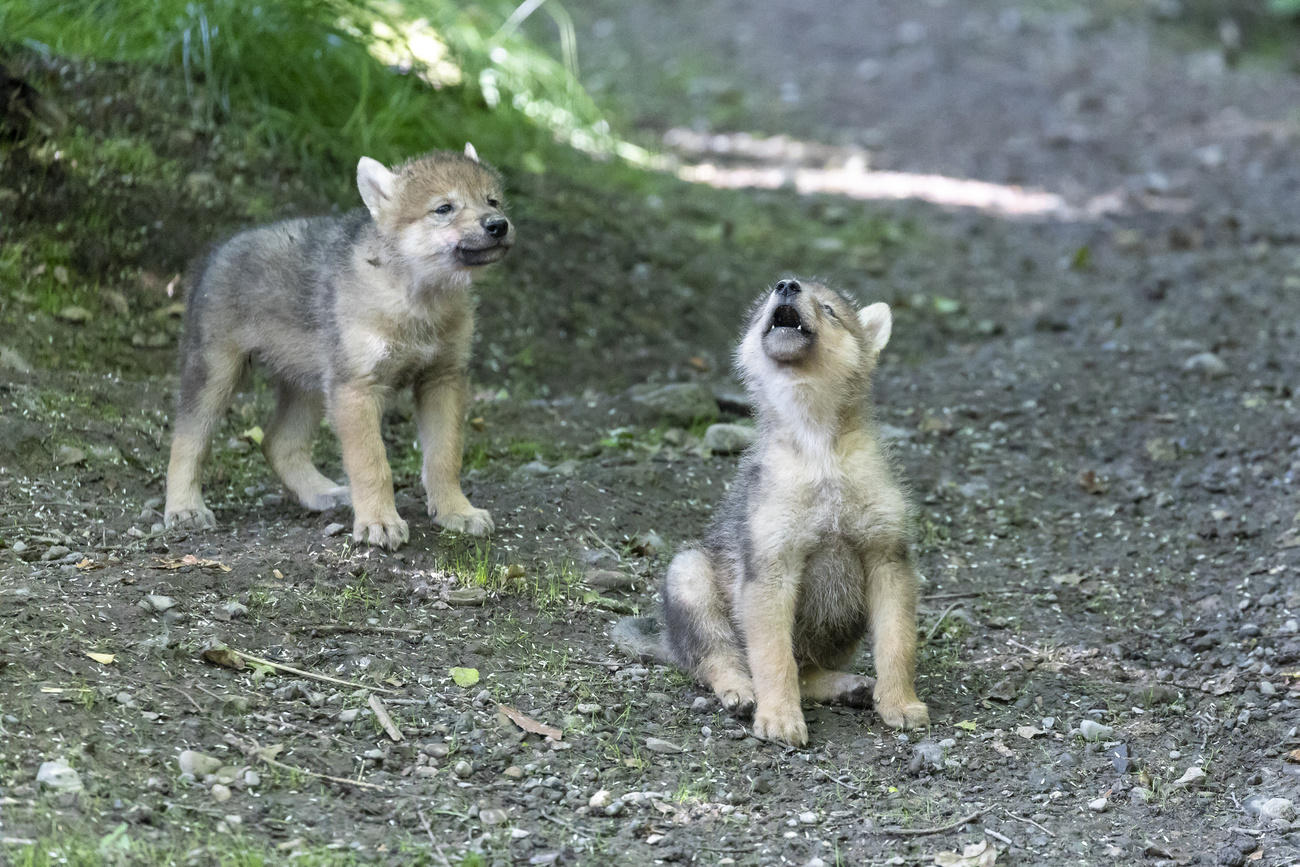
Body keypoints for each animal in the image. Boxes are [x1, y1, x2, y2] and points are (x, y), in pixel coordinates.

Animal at [164, 144, 512, 550]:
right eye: (444, 208)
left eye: (492, 200)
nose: (498, 225)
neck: (418, 299)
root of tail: (214, 253)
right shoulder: (356, 389)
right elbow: (372, 463)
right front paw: (379, 522)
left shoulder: (442, 379)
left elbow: (445, 456)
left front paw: (457, 512)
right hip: (216, 374)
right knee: (187, 440)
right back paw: (185, 508)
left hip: (307, 383)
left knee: (278, 442)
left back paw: (322, 494)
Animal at [614, 278, 929, 746]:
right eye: (766, 300)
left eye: (830, 310)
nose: (786, 284)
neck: (820, 455)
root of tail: (668, 643)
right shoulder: (771, 568)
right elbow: (772, 657)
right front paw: (779, 718)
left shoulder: (888, 560)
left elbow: (897, 645)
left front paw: (901, 704)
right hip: (690, 575)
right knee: (719, 659)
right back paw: (741, 692)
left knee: (806, 670)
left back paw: (848, 686)